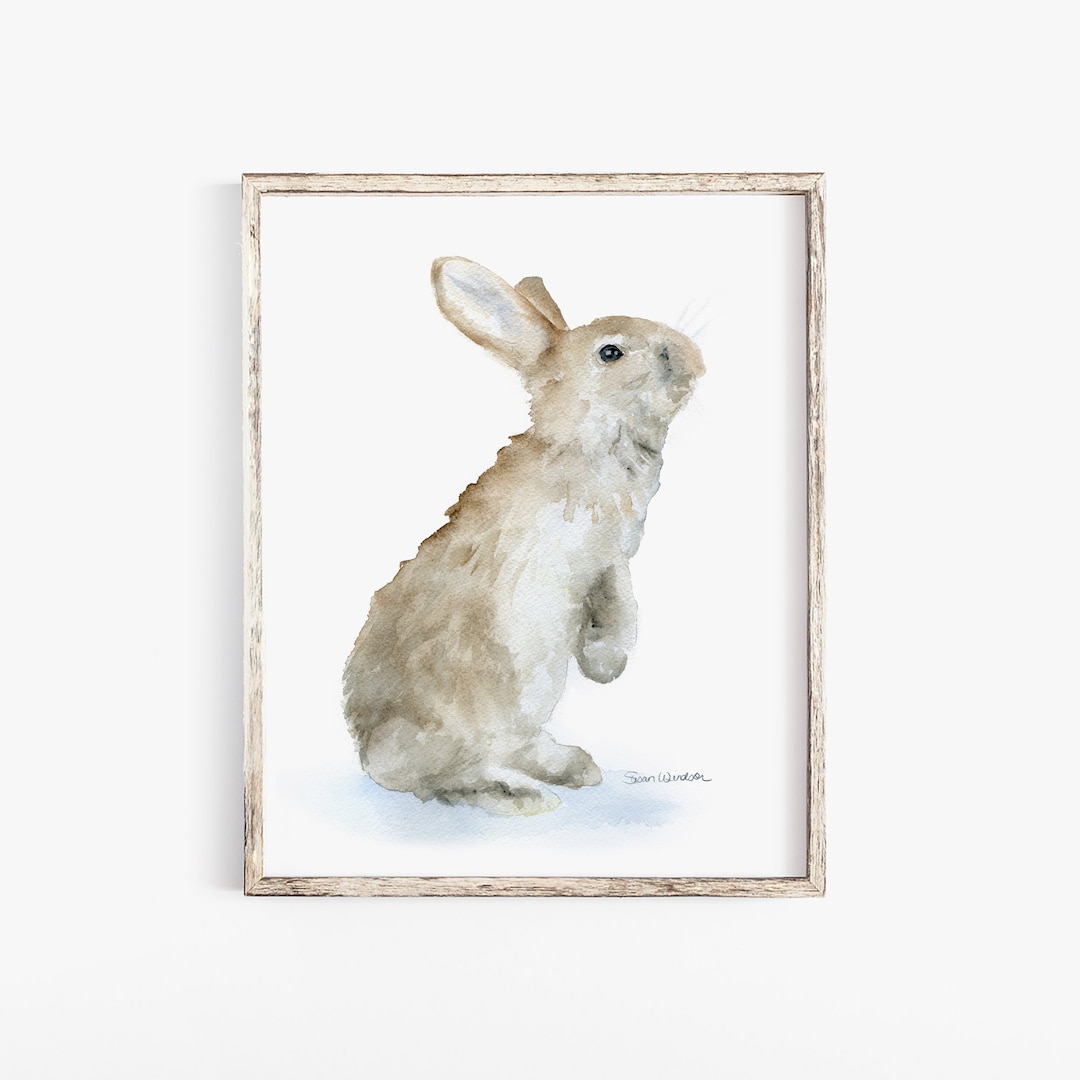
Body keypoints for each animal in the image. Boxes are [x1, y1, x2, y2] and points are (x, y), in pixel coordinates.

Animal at [343, 257, 705, 815]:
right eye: (611, 352)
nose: (691, 358)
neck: (586, 438)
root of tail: (368, 746)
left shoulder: (611, 558)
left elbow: (619, 601)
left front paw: (604, 666)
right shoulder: (598, 552)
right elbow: (622, 609)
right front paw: (608, 665)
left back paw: (573, 768)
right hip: (480, 707)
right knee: (433, 777)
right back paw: (518, 796)